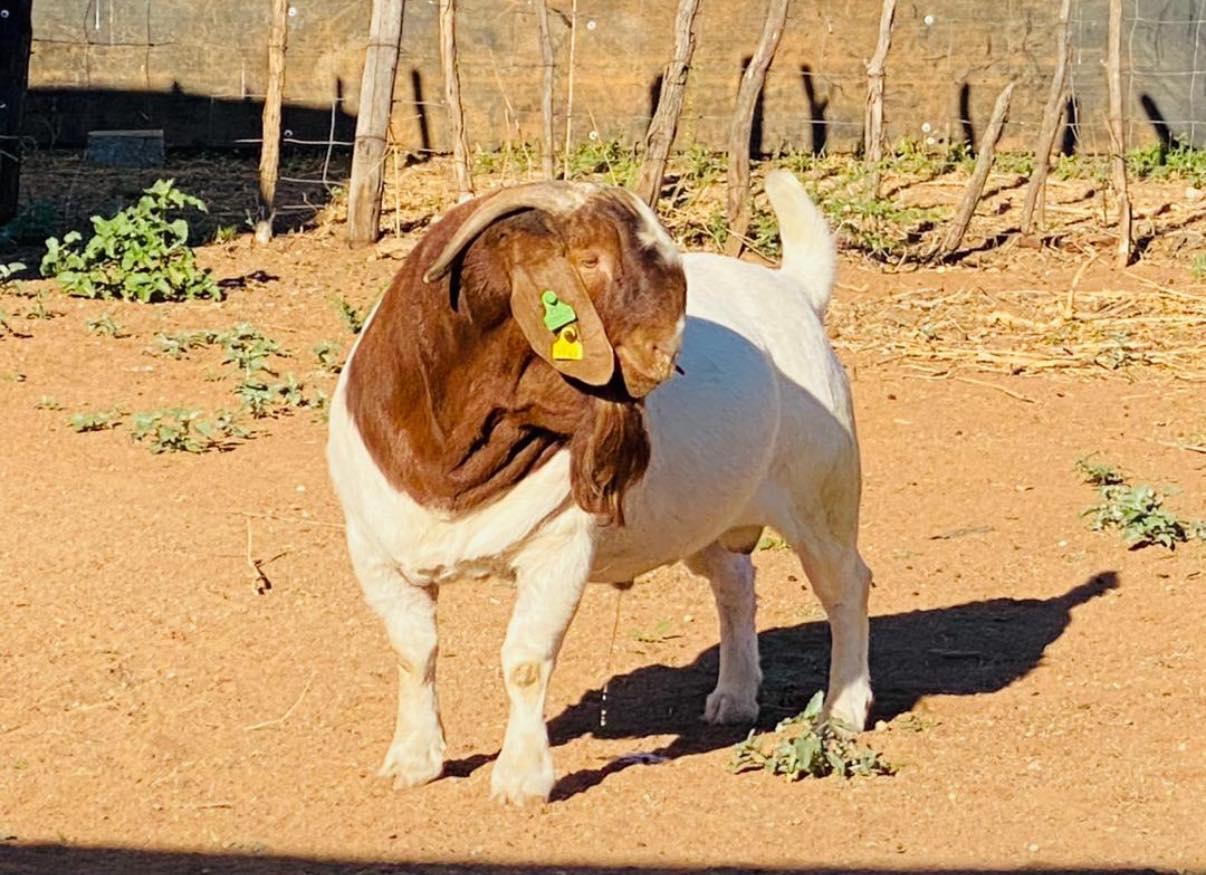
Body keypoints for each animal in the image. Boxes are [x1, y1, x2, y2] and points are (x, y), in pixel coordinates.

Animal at [327, 170, 871, 804]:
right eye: (590, 259)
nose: (666, 355)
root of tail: (794, 289)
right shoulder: (374, 550)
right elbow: (414, 651)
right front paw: (412, 760)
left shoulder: (558, 548)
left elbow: (525, 660)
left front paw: (520, 781)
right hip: (709, 517)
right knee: (735, 582)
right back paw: (734, 697)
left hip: (823, 493)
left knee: (845, 584)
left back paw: (844, 709)